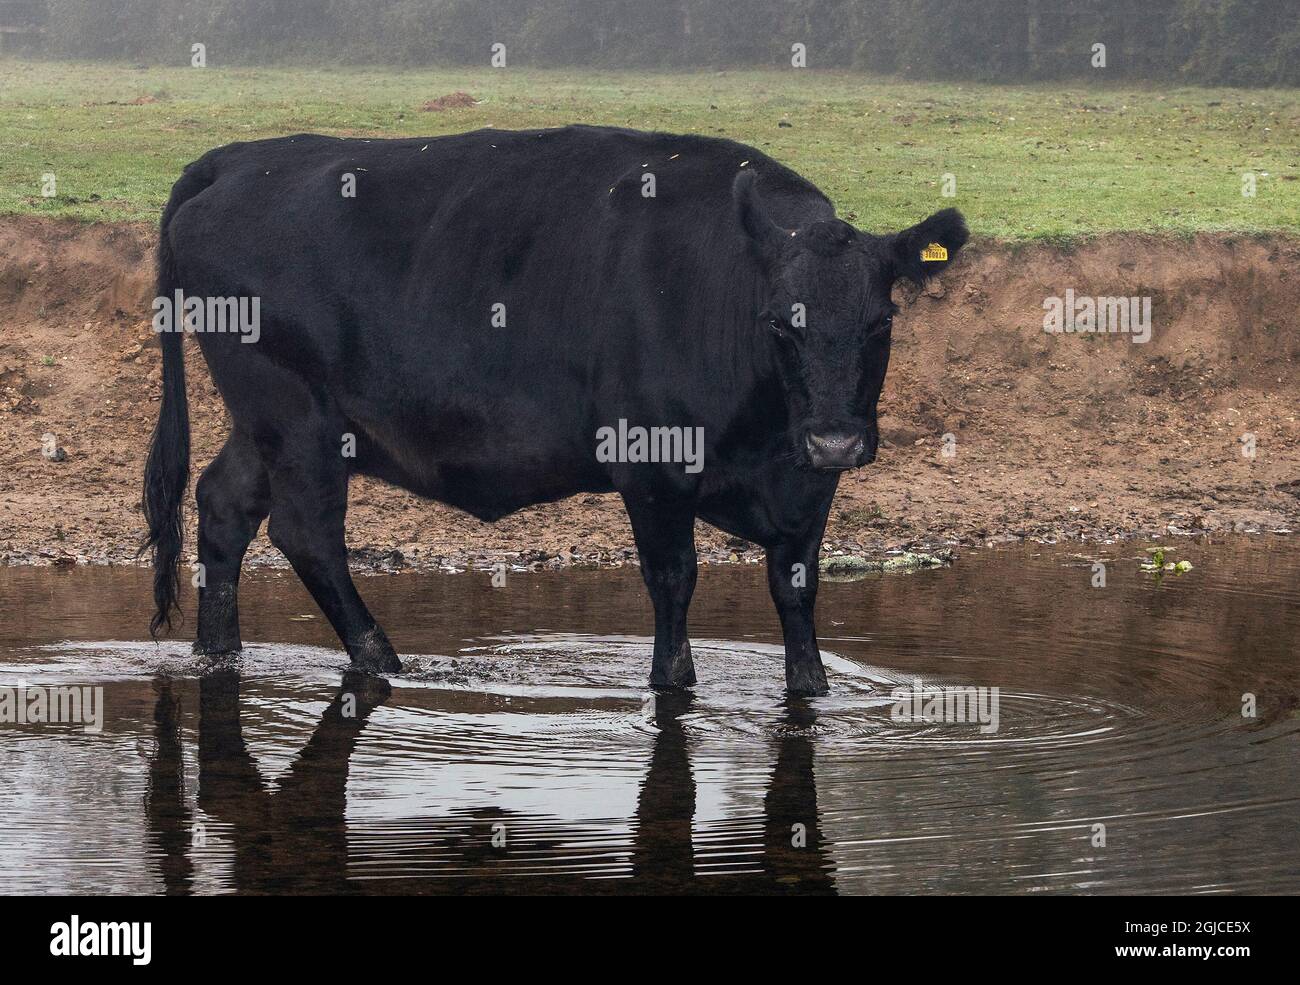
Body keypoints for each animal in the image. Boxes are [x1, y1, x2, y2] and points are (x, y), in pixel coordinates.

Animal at [142, 125, 967, 695]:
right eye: (778, 324)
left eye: (881, 322)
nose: (834, 439)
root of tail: (241, 158)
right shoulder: (651, 465)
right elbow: (674, 584)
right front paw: (672, 684)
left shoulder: (806, 488)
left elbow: (796, 595)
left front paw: (813, 690)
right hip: (296, 415)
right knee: (307, 532)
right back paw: (384, 658)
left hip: (269, 422)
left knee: (223, 504)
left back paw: (220, 653)